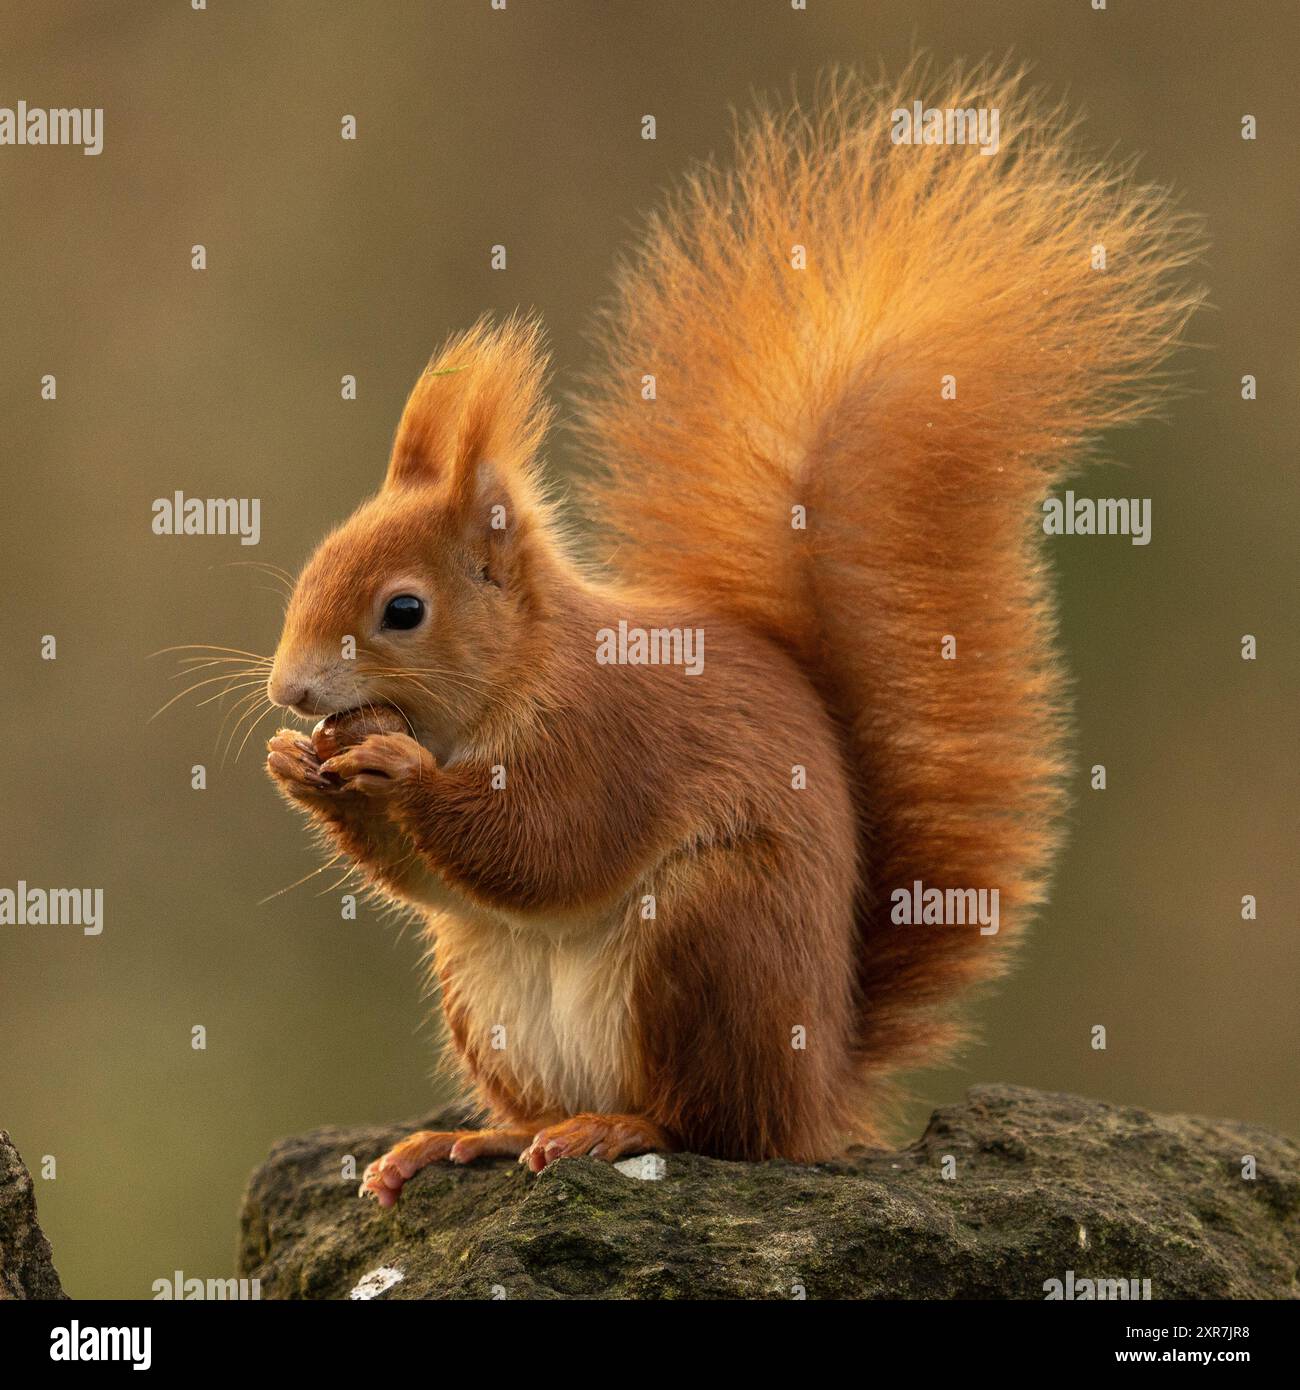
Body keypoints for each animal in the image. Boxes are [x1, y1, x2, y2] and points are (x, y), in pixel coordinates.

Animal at [262, 66, 1201, 1205]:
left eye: (403, 611)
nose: (289, 692)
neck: (510, 683)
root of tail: (819, 1086)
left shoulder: (609, 735)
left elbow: (544, 845)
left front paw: (393, 769)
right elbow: (434, 879)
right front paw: (298, 768)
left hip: (709, 937)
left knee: (712, 1124)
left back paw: (615, 1127)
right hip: (482, 989)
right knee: (562, 1102)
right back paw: (472, 1138)